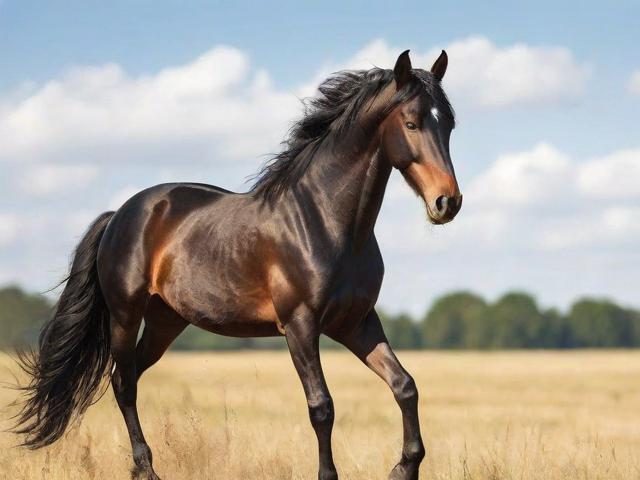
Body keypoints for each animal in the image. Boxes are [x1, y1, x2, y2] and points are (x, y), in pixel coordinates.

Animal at [14, 49, 461, 480]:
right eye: (411, 123)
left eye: (450, 125)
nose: (448, 203)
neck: (327, 221)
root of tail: (121, 214)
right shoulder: (300, 325)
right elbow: (322, 407)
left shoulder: (357, 322)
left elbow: (405, 386)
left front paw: (404, 467)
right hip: (125, 315)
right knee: (123, 383)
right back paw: (146, 469)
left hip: (164, 321)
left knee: (132, 375)